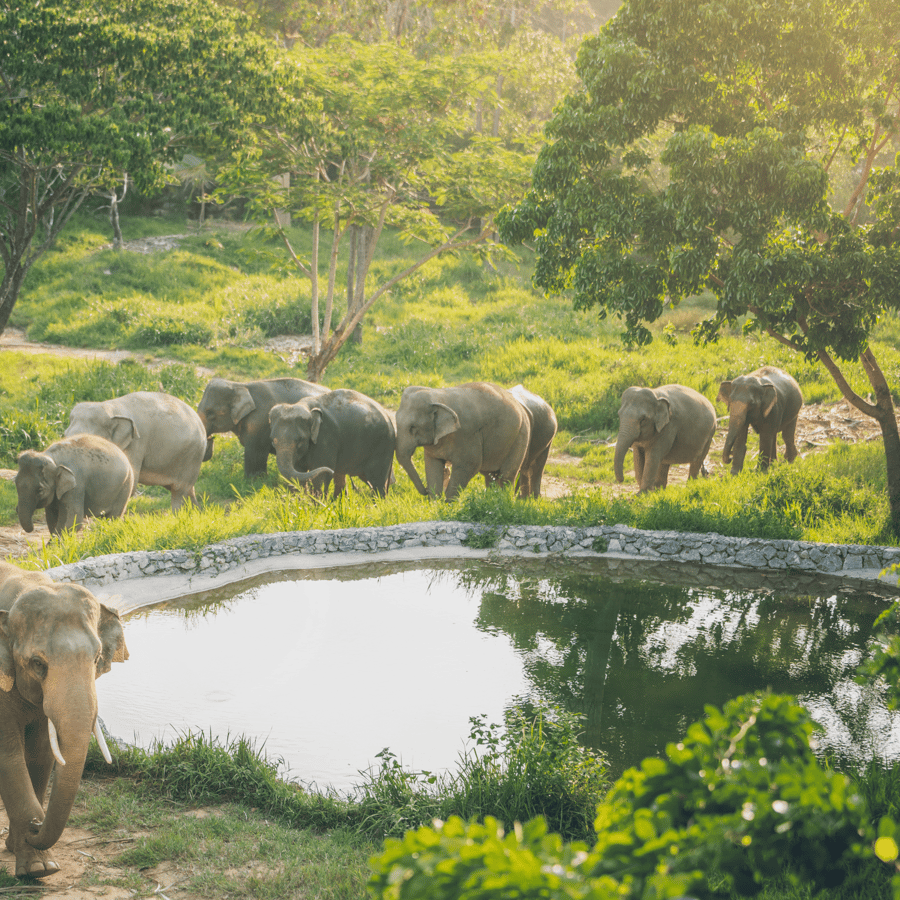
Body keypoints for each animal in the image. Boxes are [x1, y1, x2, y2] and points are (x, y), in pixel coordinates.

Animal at [0, 562, 127, 878]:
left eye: (96, 658)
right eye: (37, 663)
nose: (36, 825)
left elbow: (41, 754)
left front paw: (27, 854)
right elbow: (8, 756)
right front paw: (39, 869)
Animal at [64, 391, 207, 512]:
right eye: (64, 435)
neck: (112, 407)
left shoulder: (136, 444)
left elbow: (130, 481)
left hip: (192, 456)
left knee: (179, 492)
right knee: (187, 490)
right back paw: (197, 512)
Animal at [197, 377, 328, 478]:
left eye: (210, 413)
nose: (210, 438)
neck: (239, 385)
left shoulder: (258, 423)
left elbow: (256, 452)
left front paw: (253, 480)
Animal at [395, 382, 531, 501]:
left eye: (413, 428)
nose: (425, 490)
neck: (438, 395)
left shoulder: (467, 434)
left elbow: (469, 465)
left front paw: (449, 505)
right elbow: (432, 464)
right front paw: (435, 502)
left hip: (521, 434)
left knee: (507, 475)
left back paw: (503, 500)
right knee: (490, 475)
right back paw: (492, 498)